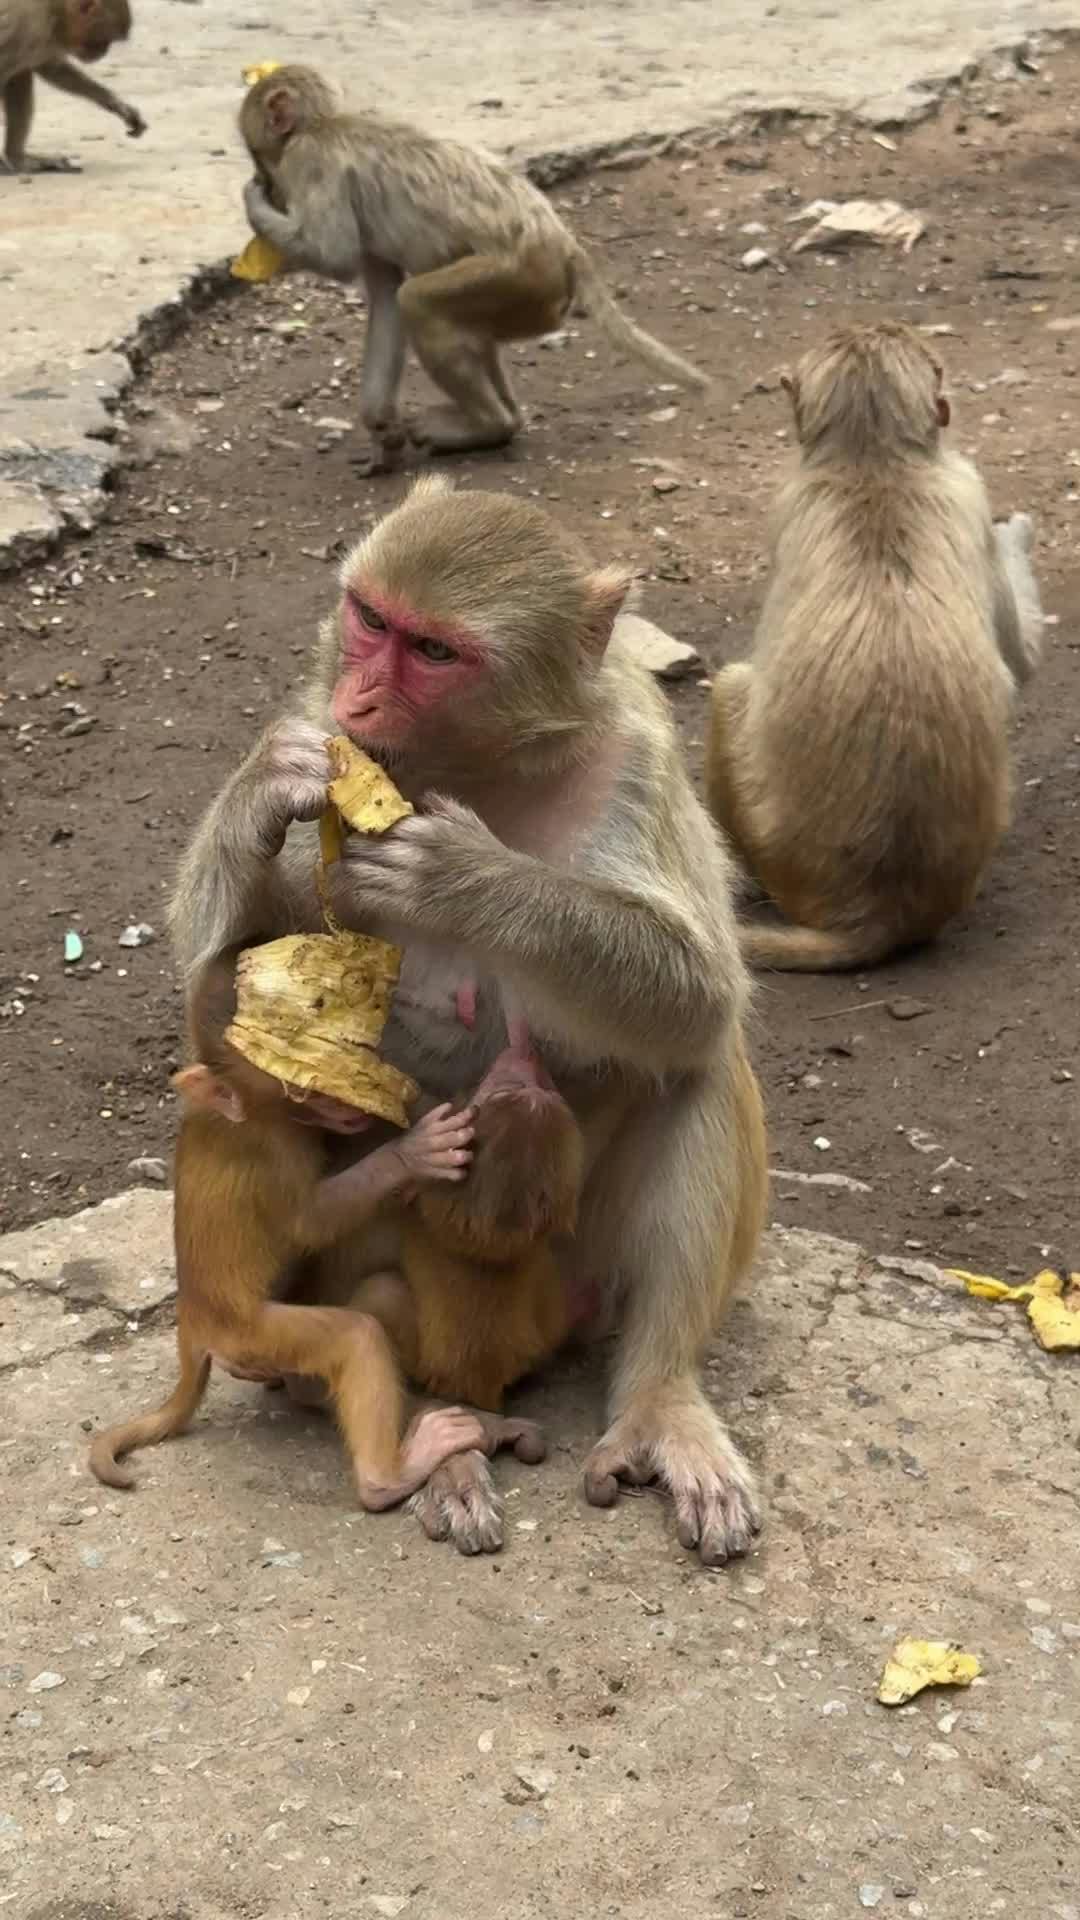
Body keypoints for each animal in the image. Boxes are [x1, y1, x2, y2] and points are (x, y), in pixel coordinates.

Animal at [1, 0, 145, 174]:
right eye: (103, 39)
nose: (103, 53)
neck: (55, 10)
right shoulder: (26, 28)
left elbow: (48, 67)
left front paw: (119, 106)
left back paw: (17, 157)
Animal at [168, 476, 769, 1567]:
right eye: (371, 621)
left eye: (435, 652)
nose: (360, 702)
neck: (481, 767)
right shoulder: (312, 711)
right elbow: (216, 988)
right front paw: (261, 789)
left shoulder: (640, 759)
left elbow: (699, 991)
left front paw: (466, 878)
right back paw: (432, 1443)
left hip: (580, 1271)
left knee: (696, 1067)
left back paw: (658, 1400)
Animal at [235, 64, 708, 464]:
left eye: (258, 157)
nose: (267, 185)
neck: (325, 123)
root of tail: (565, 244)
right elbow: (384, 297)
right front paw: (381, 431)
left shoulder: (309, 160)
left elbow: (334, 255)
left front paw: (253, 203)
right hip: (521, 293)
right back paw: (506, 422)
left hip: (517, 277)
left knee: (419, 300)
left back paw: (488, 425)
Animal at [705, 321, 1044, 973]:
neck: (876, 464)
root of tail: (881, 910)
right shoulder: (966, 491)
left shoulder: (794, 498)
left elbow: (1024, 662)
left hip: (775, 849)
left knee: (731, 684)